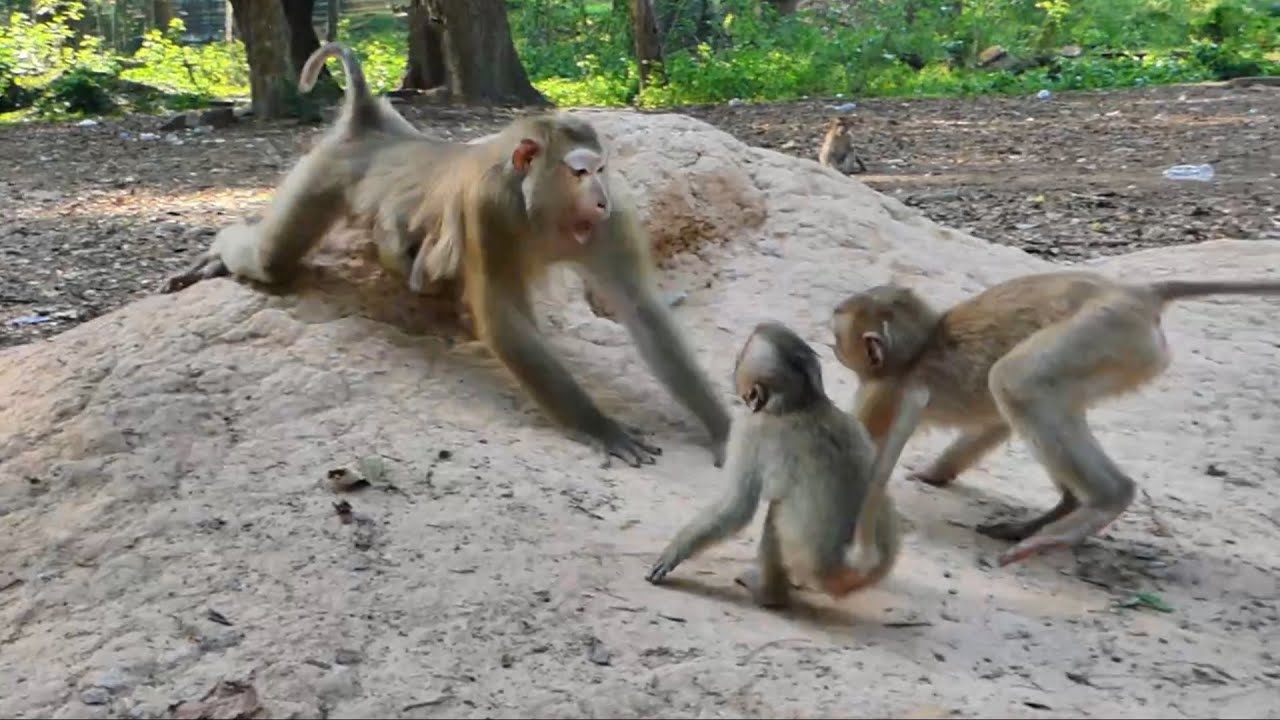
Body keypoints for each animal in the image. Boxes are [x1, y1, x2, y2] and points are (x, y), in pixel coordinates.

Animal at [159, 42, 732, 470]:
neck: (540, 208)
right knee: (273, 259)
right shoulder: (487, 208)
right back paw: (220, 253)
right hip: (322, 172)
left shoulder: (614, 219)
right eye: (580, 171)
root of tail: (372, 123)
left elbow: (641, 310)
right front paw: (599, 425)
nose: (599, 197)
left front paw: (724, 428)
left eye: (601, 170)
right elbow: (503, 319)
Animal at [645, 322, 930, 607]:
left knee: (776, 512)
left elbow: (736, 507)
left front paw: (674, 552)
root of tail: (853, 562)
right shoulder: (852, 423)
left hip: (807, 559)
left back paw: (769, 593)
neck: (803, 402)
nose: (735, 377)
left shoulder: (750, 429)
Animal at [831, 271, 1280, 567]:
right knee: (1039, 401)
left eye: (837, 336)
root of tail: (1137, 293)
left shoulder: (884, 389)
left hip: (1105, 332)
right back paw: (1063, 508)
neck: (920, 347)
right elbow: (994, 423)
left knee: (1015, 381)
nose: (832, 342)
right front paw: (936, 473)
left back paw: (1103, 501)